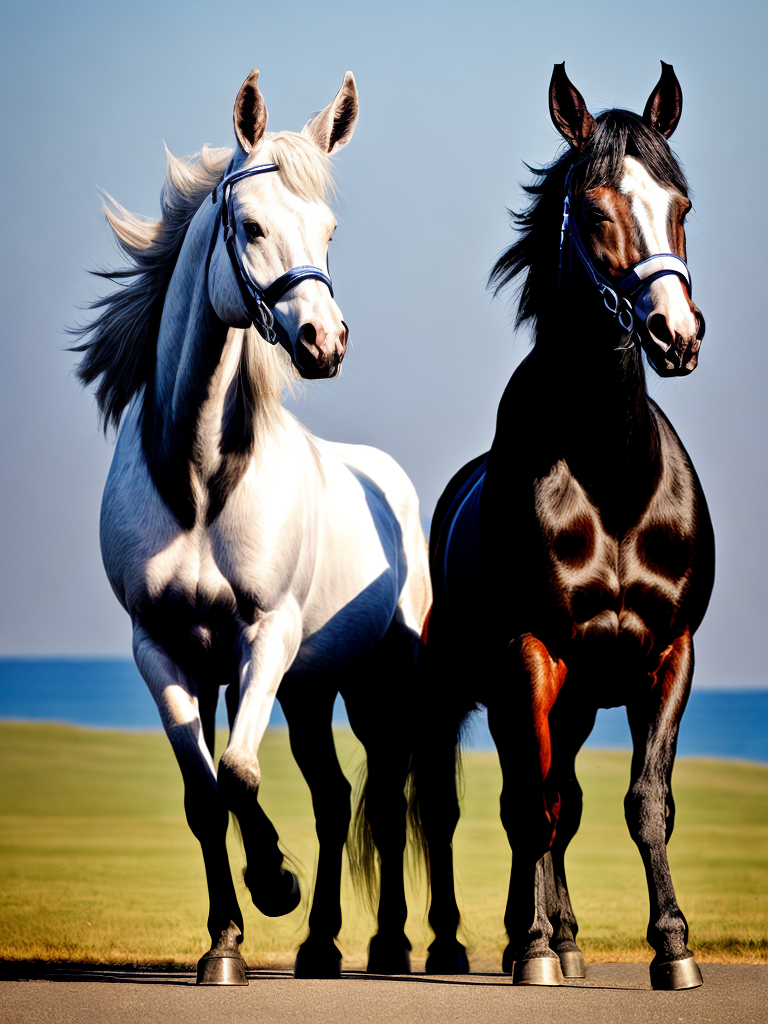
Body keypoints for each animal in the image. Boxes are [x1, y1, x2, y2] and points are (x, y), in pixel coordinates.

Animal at [72, 70, 430, 984]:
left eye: (329, 229)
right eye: (253, 225)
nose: (324, 341)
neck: (198, 480)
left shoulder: (264, 639)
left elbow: (237, 772)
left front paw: (273, 881)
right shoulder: (167, 651)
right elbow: (206, 794)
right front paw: (226, 941)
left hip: (377, 682)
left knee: (391, 794)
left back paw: (390, 942)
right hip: (307, 689)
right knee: (336, 798)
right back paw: (321, 945)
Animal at [412, 62, 713, 990]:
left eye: (682, 204)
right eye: (594, 209)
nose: (675, 334)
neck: (613, 482)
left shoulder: (670, 654)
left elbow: (645, 804)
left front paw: (674, 948)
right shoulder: (530, 656)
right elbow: (527, 807)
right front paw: (534, 947)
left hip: (577, 699)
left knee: (563, 799)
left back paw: (565, 938)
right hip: (487, 691)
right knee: (488, 803)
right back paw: (499, 943)